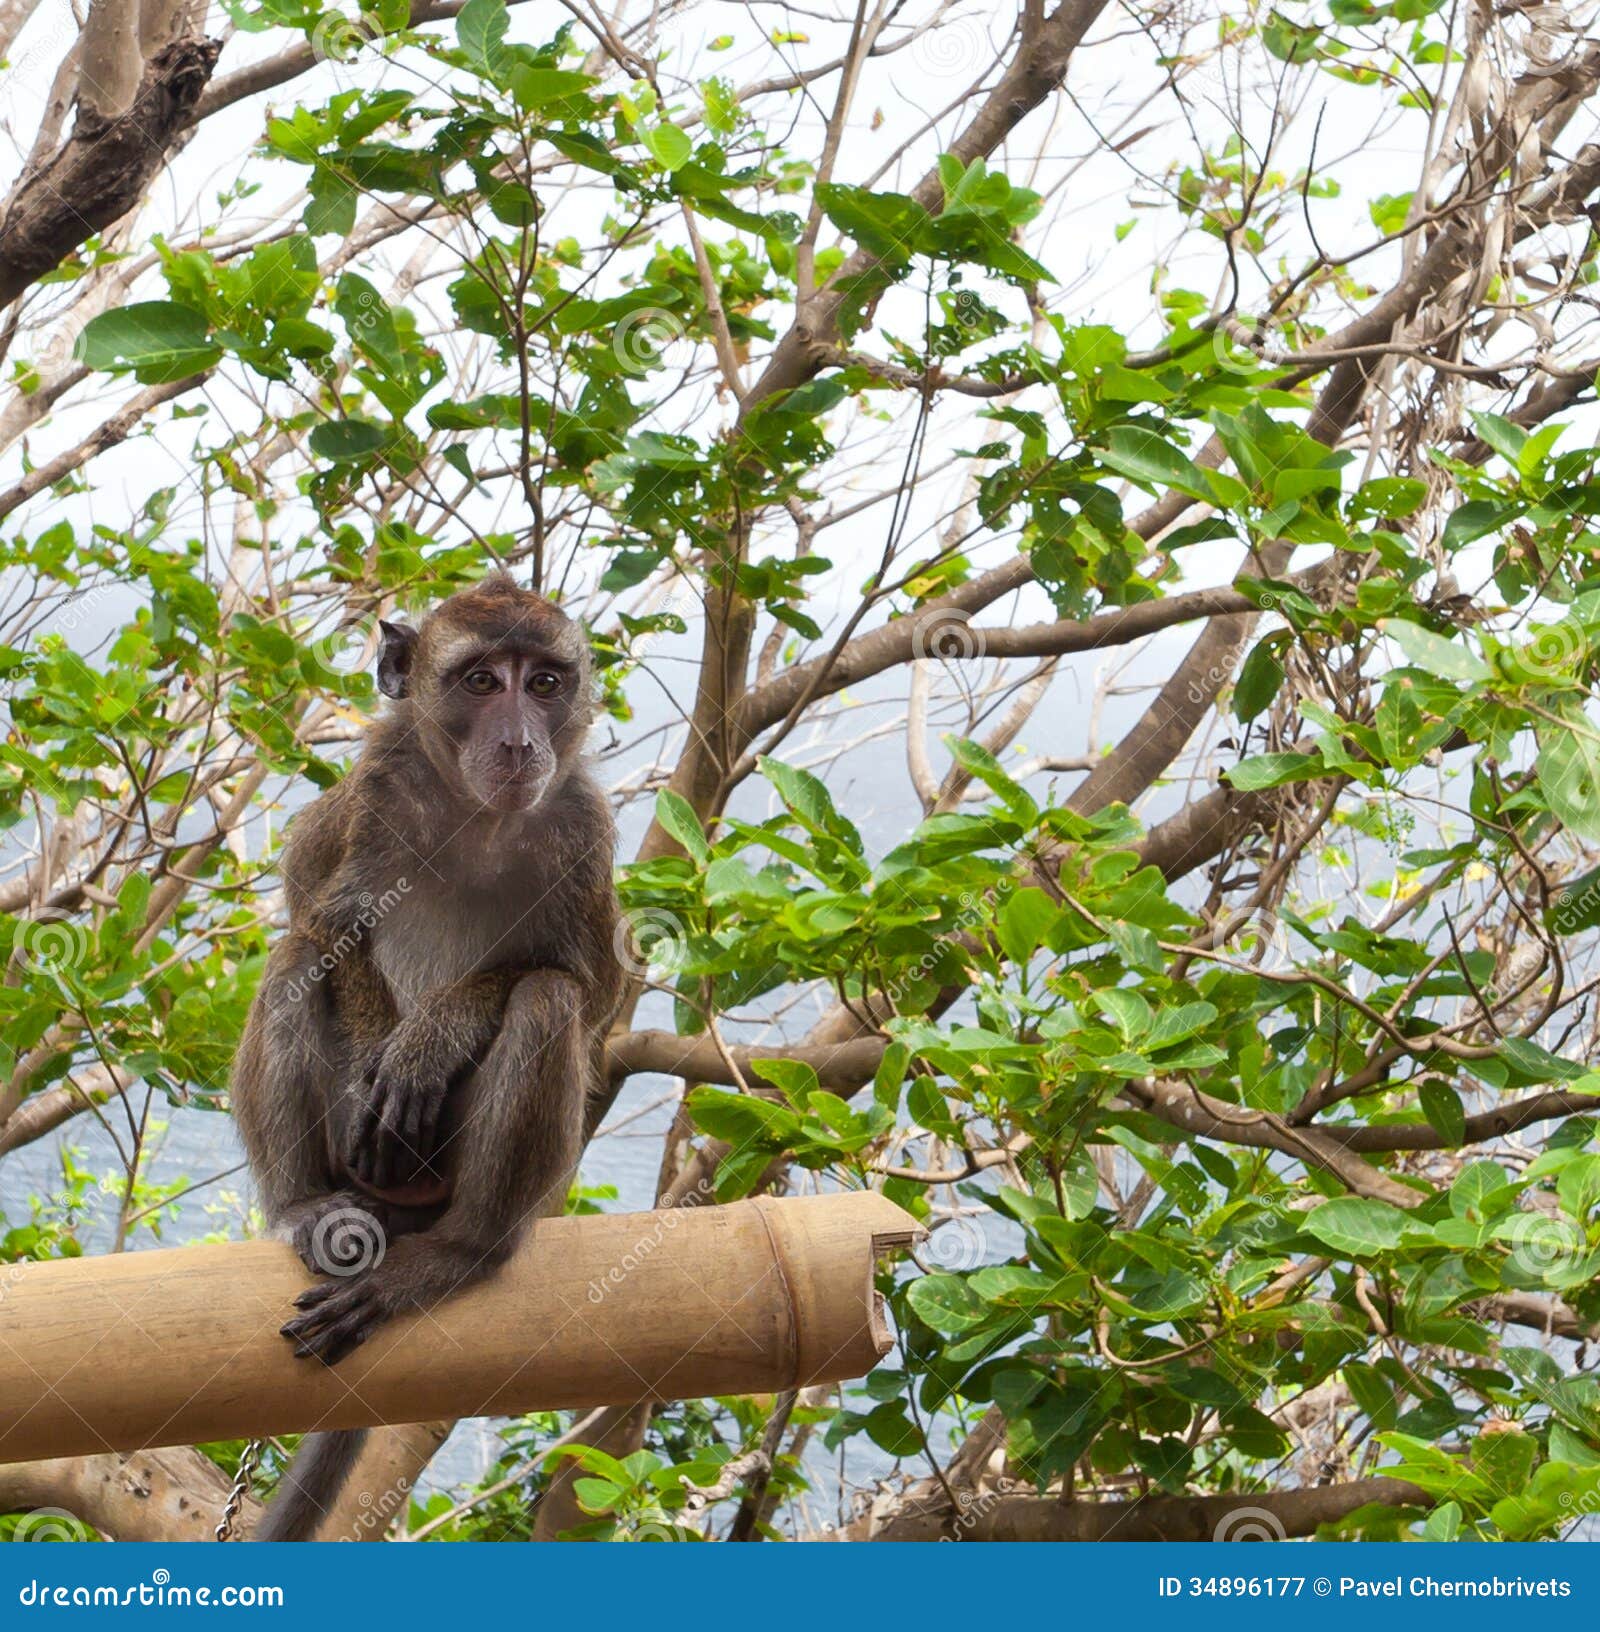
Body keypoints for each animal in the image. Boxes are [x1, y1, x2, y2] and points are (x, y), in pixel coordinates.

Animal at [230, 574, 621, 1541]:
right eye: (481, 681)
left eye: (545, 683)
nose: (519, 742)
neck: (478, 820)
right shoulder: (371, 796)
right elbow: (323, 922)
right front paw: (386, 1052)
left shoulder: (584, 829)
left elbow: (587, 990)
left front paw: (432, 1038)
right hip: (349, 1164)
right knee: (294, 959)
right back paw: (305, 1207)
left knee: (546, 1002)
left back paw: (462, 1253)